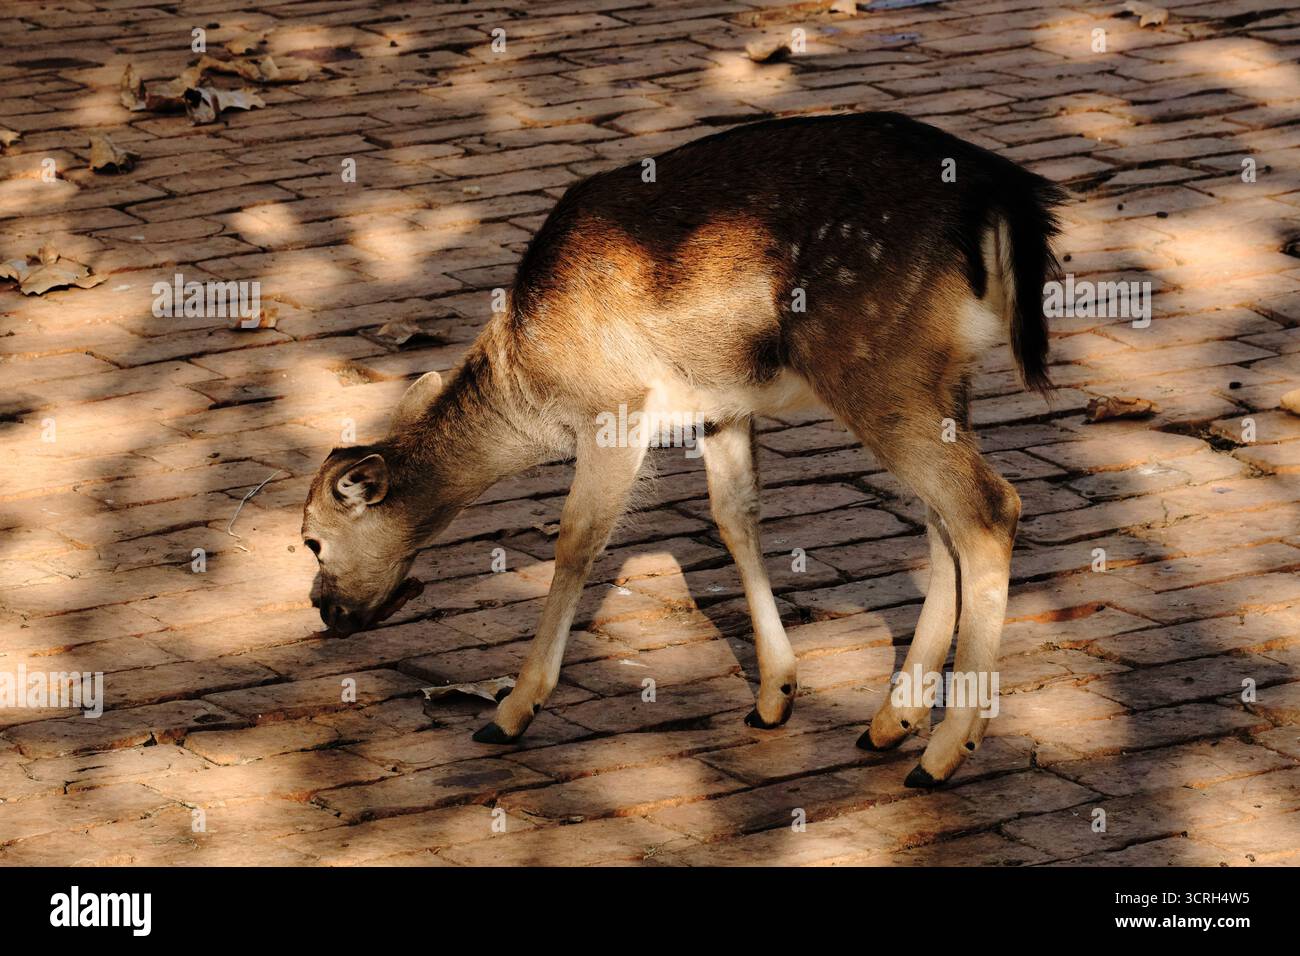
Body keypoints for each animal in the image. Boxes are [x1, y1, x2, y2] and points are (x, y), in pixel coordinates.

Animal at [302, 111, 1065, 786]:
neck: (535, 380)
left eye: (311, 539)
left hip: (877, 362)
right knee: (944, 521)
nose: (323, 610)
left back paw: (943, 754)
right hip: (941, 376)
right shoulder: (720, 408)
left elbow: (578, 538)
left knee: (988, 507)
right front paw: (775, 696)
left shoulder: (615, 405)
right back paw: (890, 723)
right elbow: (735, 517)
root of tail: (1004, 192)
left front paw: (510, 711)